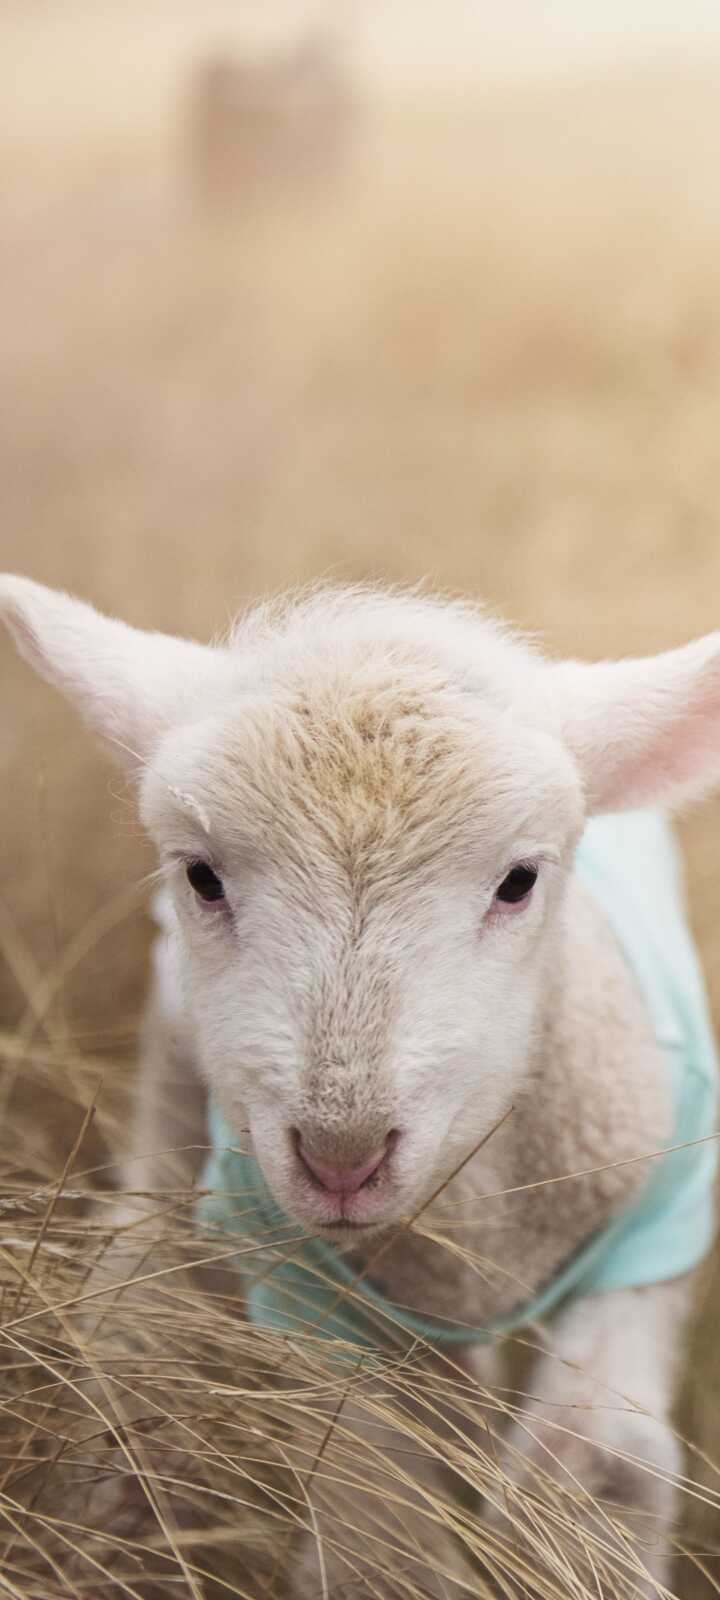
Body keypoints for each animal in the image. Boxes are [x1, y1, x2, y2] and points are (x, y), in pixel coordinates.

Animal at [1, 573, 718, 1597]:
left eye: (519, 880)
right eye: (202, 876)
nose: (342, 1155)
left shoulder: (652, 1237)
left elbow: (599, 1469)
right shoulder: (317, 1294)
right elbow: (376, 1523)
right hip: (173, 1092)